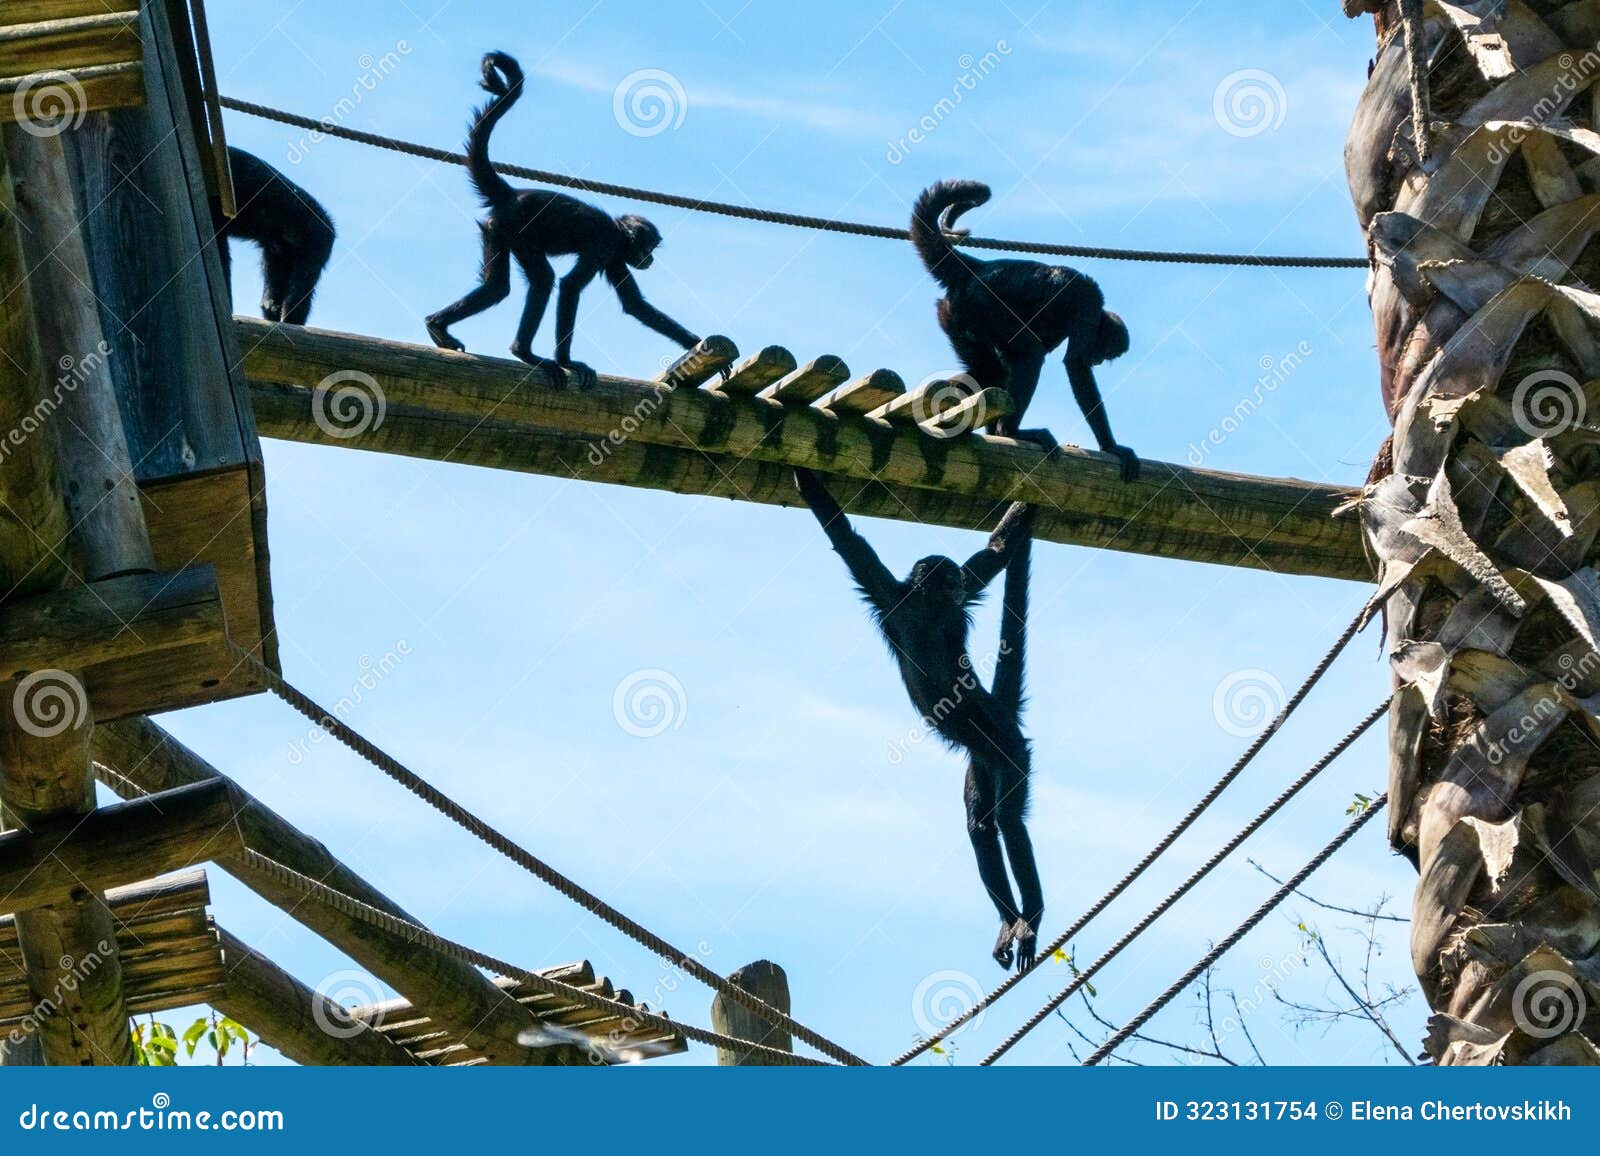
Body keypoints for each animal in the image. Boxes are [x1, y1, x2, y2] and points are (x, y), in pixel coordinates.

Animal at [427, 52, 706, 387]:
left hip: (496, 230)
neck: (617, 231)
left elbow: (635, 305)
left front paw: (697, 343)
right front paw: (568, 361)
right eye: (649, 248)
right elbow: (570, 286)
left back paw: (436, 325)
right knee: (543, 280)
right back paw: (525, 353)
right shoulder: (604, 244)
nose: (649, 260)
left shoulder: (614, 255)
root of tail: (513, 194)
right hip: (519, 230)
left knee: (496, 287)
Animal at [794, 467, 1043, 971]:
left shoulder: (926, 599)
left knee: (1008, 819)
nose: (957, 587)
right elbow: (845, 537)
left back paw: (1031, 918)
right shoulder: (891, 595)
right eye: (947, 579)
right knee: (980, 827)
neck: (927, 610)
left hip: (1007, 744)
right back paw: (1009, 922)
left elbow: (995, 551)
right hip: (982, 759)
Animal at [911, 179, 1140, 482]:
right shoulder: (1087, 303)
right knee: (1029, 355)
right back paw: (1013, 432)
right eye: (1106, 352)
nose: (1100, 360)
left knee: (990, 371)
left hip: (955, 317)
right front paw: (1112, 446)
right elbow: (1075, 365)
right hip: (982, 305)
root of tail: (976, 268)